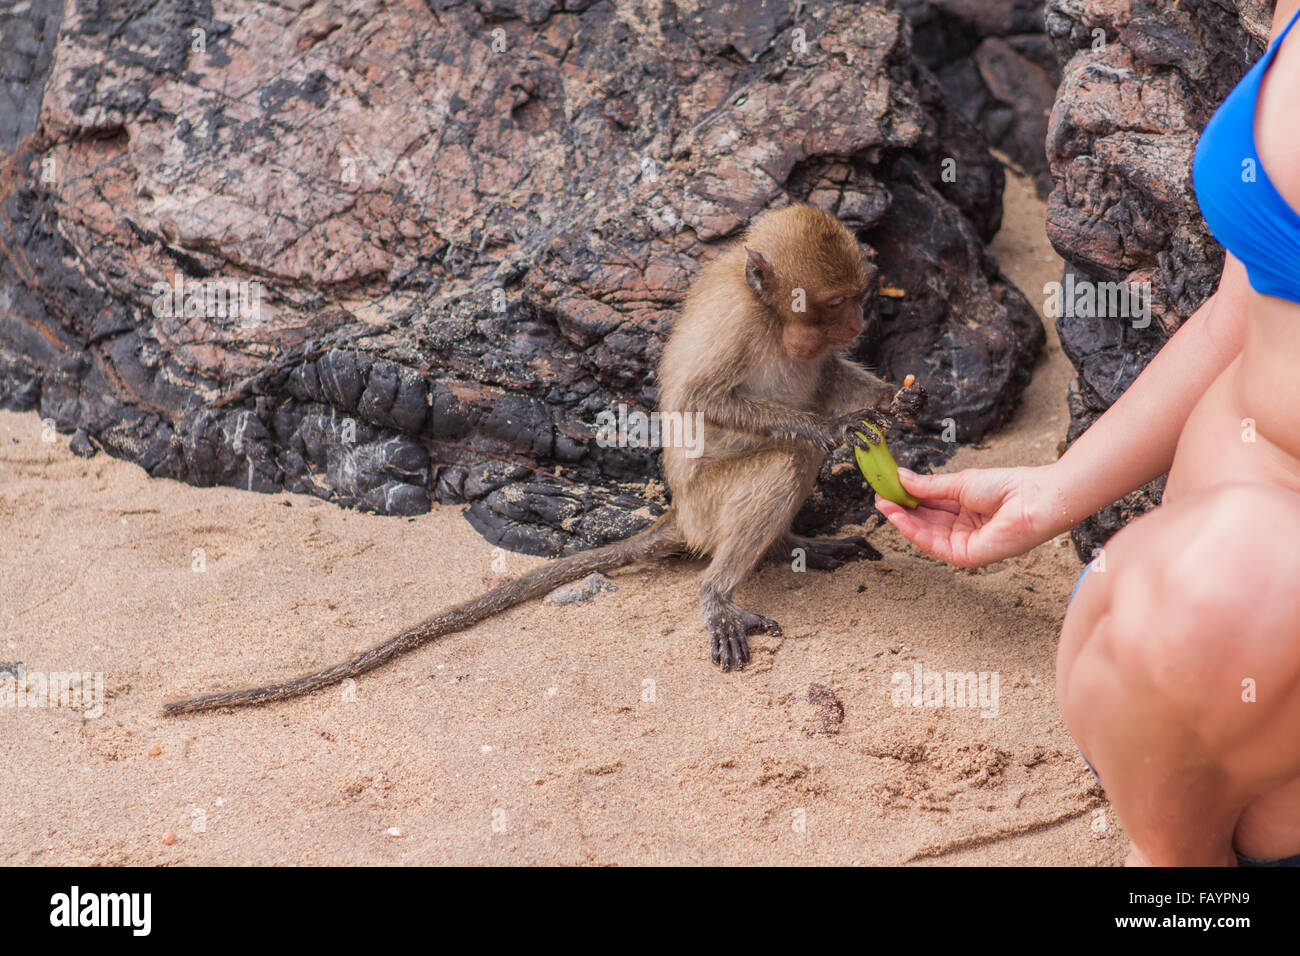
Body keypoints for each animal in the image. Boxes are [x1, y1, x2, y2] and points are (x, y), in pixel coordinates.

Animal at [161, 203, 924, 715]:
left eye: (856, 300)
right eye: (833, 303)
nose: (860, 321)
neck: (770, 317)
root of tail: (681, 516)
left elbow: (824, 377)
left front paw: (891, 403)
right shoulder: (739, 326)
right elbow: (708, 402)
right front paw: (842, 425)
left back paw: (791, 546)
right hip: (710, 503)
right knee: (785, 459)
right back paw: (720, 591)